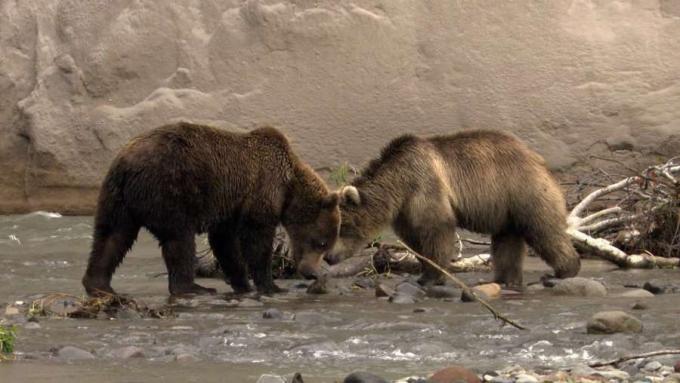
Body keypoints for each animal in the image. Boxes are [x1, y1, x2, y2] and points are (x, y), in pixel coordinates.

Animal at [82, 122, 340, 296]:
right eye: (322, 242)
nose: (310, 272)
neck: (288, 187)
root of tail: (127, 164)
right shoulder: (260, 190)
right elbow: (256, 240)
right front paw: (270, 285)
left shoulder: (230, 207)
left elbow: (225, 243)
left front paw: (242, 283)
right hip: (168, 189)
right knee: (179, 239)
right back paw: (193, 287)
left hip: (117, 197)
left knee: (111, 237)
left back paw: (98, 284)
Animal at [326, 129, 580, 288]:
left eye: (342, 226)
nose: (328, 257)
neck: (399, 185)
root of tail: (538, 159)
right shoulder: (405, 211)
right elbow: (414, 239)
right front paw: (424, 271)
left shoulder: (425, 185)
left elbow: (437, 228)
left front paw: (432, 277)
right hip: (505, 208)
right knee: (507, 241)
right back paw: (505, 279)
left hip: (523, 189)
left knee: (543, 230)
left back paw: (564, 270)